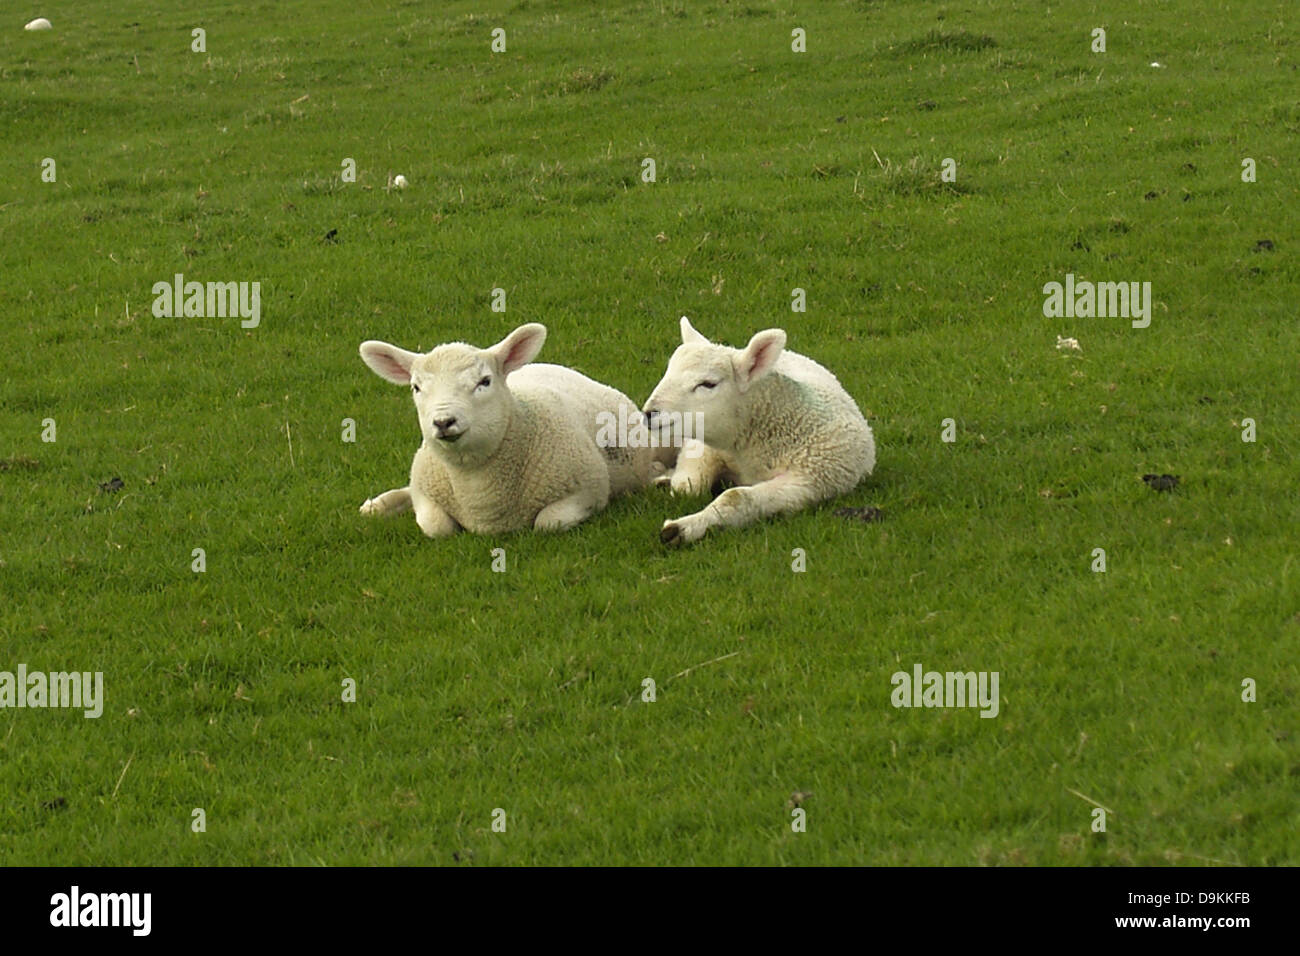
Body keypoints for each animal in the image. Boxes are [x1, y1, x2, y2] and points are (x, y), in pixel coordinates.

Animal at [358, 323, 664, 536]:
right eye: (416, 387)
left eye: (484, 382)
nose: (443, 422)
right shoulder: (426, 490)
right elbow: (436, 526)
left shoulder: (588, 490)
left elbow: (548, 522)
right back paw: (377, 505)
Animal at [642, 316, 875, 545]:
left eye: (708, 384)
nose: (649, 413)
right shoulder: (701, 445)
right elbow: (688, 487)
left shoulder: (809, 481)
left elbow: (735, 497)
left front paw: (683, 527)